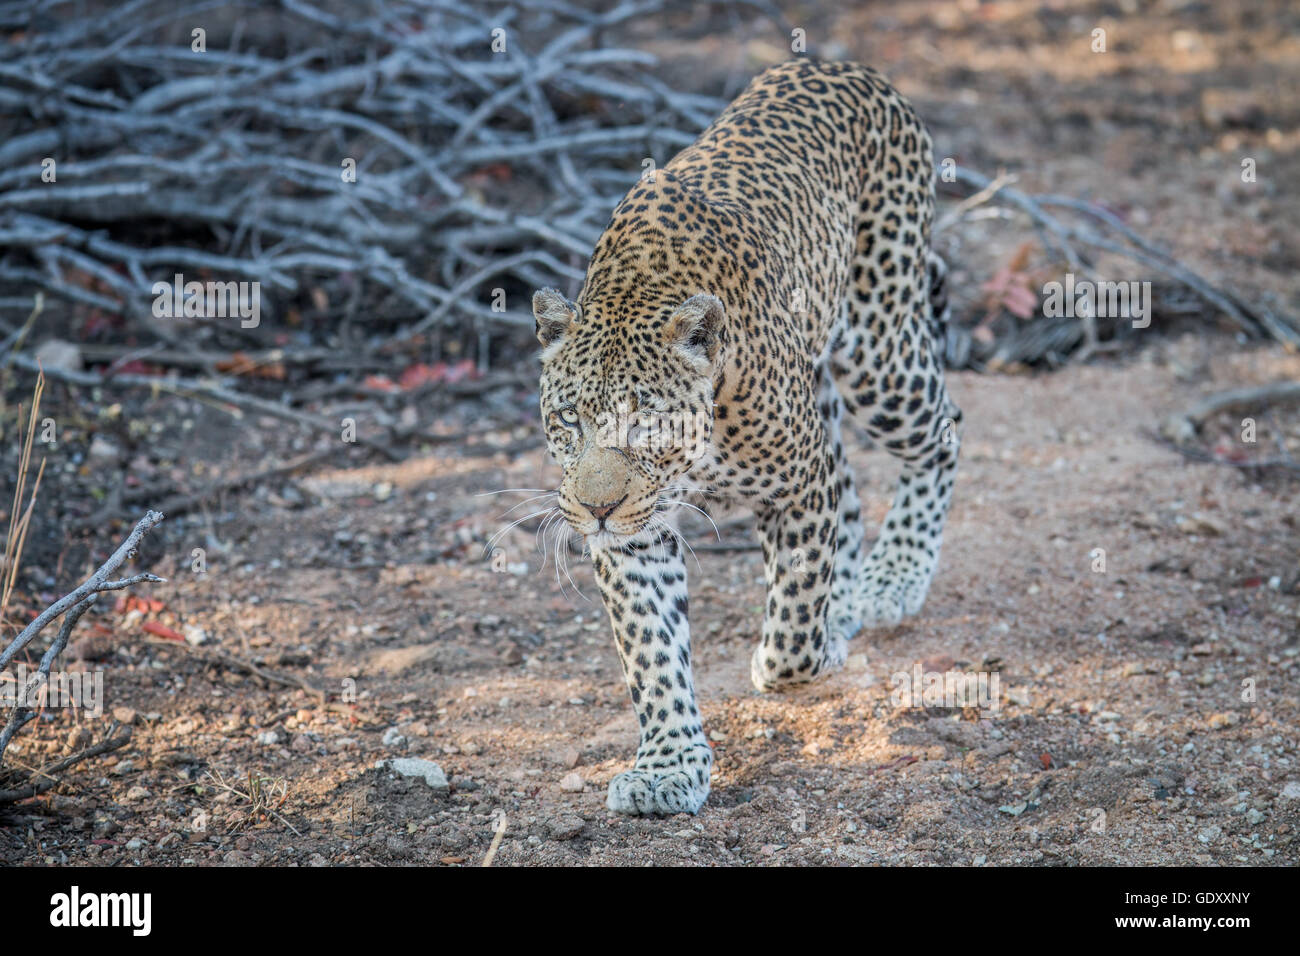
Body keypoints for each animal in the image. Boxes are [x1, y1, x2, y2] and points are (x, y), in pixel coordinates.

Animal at [531, 59, 962, 816]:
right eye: (569, 420)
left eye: (647, 420)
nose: (595, 509)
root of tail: (843, 65)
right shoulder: (637, 535)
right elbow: (653, 652)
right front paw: (668, 767)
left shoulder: (799, 480)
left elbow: (793, 619)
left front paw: (800, 655)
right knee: (856, 489)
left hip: (878, 345)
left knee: (941, 431)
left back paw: (891, 579)